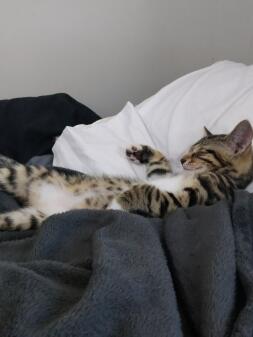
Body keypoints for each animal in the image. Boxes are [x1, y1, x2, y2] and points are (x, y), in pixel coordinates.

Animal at [0, 118, 251, 228]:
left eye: (200, 152)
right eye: (190, 149)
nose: (181, 159)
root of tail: (38, 200)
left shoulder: (188, 200)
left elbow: (146, 192)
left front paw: (116, 205)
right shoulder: (160, 176)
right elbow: (158, 165)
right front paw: (140, 151)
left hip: (28, 215)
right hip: (24, 173)